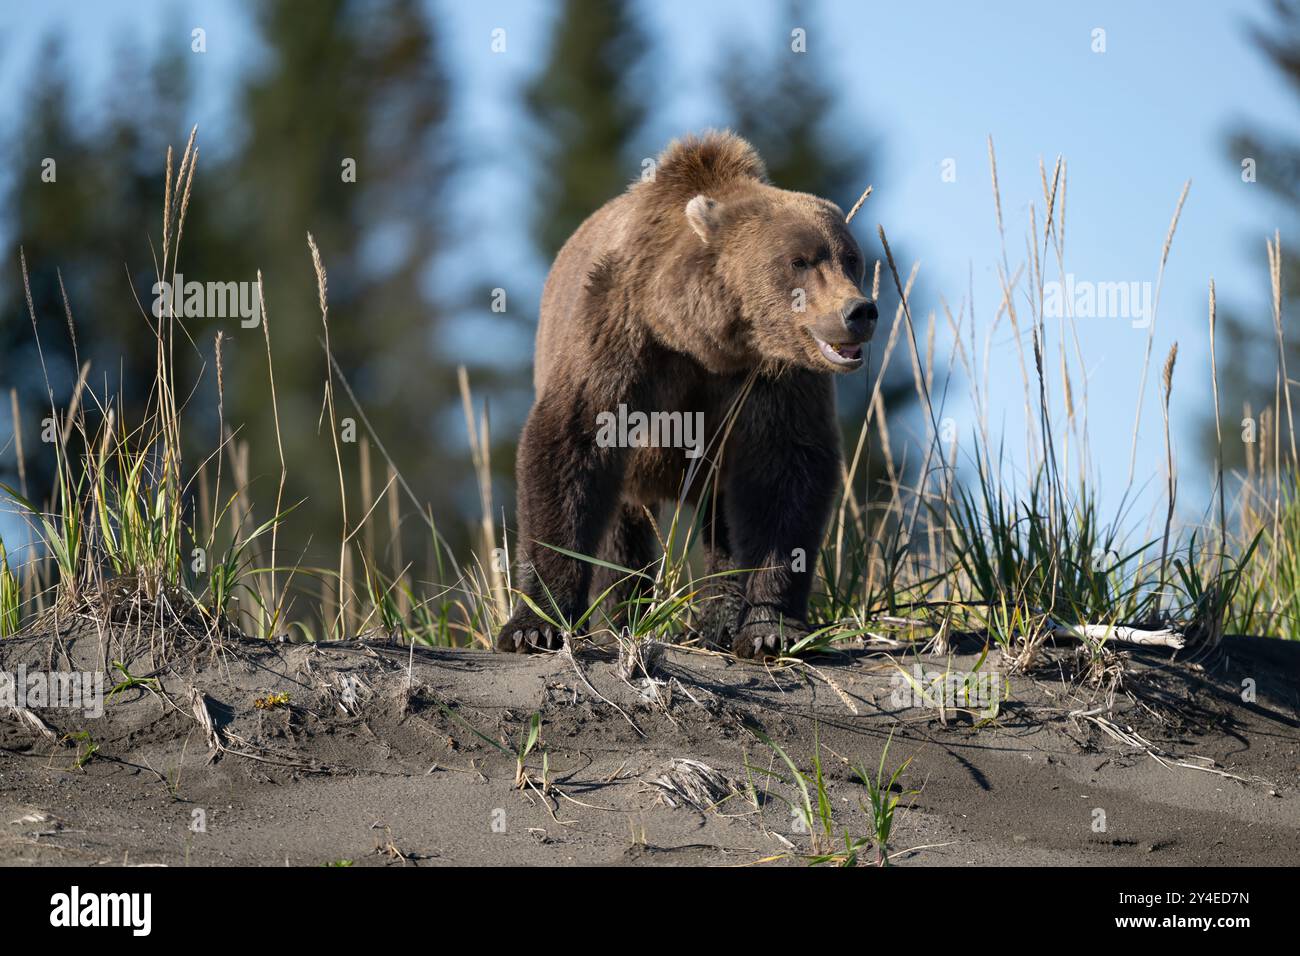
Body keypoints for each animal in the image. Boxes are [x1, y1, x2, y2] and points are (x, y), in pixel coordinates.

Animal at [496, 130, 877, 660]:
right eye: (799, 260)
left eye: (851, 258)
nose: (859, 311)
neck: (705, 339)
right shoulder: (622, 334)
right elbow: (571, 442)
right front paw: (535, 625)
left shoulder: (773, 376)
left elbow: (787, 470)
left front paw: (769, 629)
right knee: (623, 527)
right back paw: (624, 614)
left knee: (723, 525)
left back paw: (717, 622)